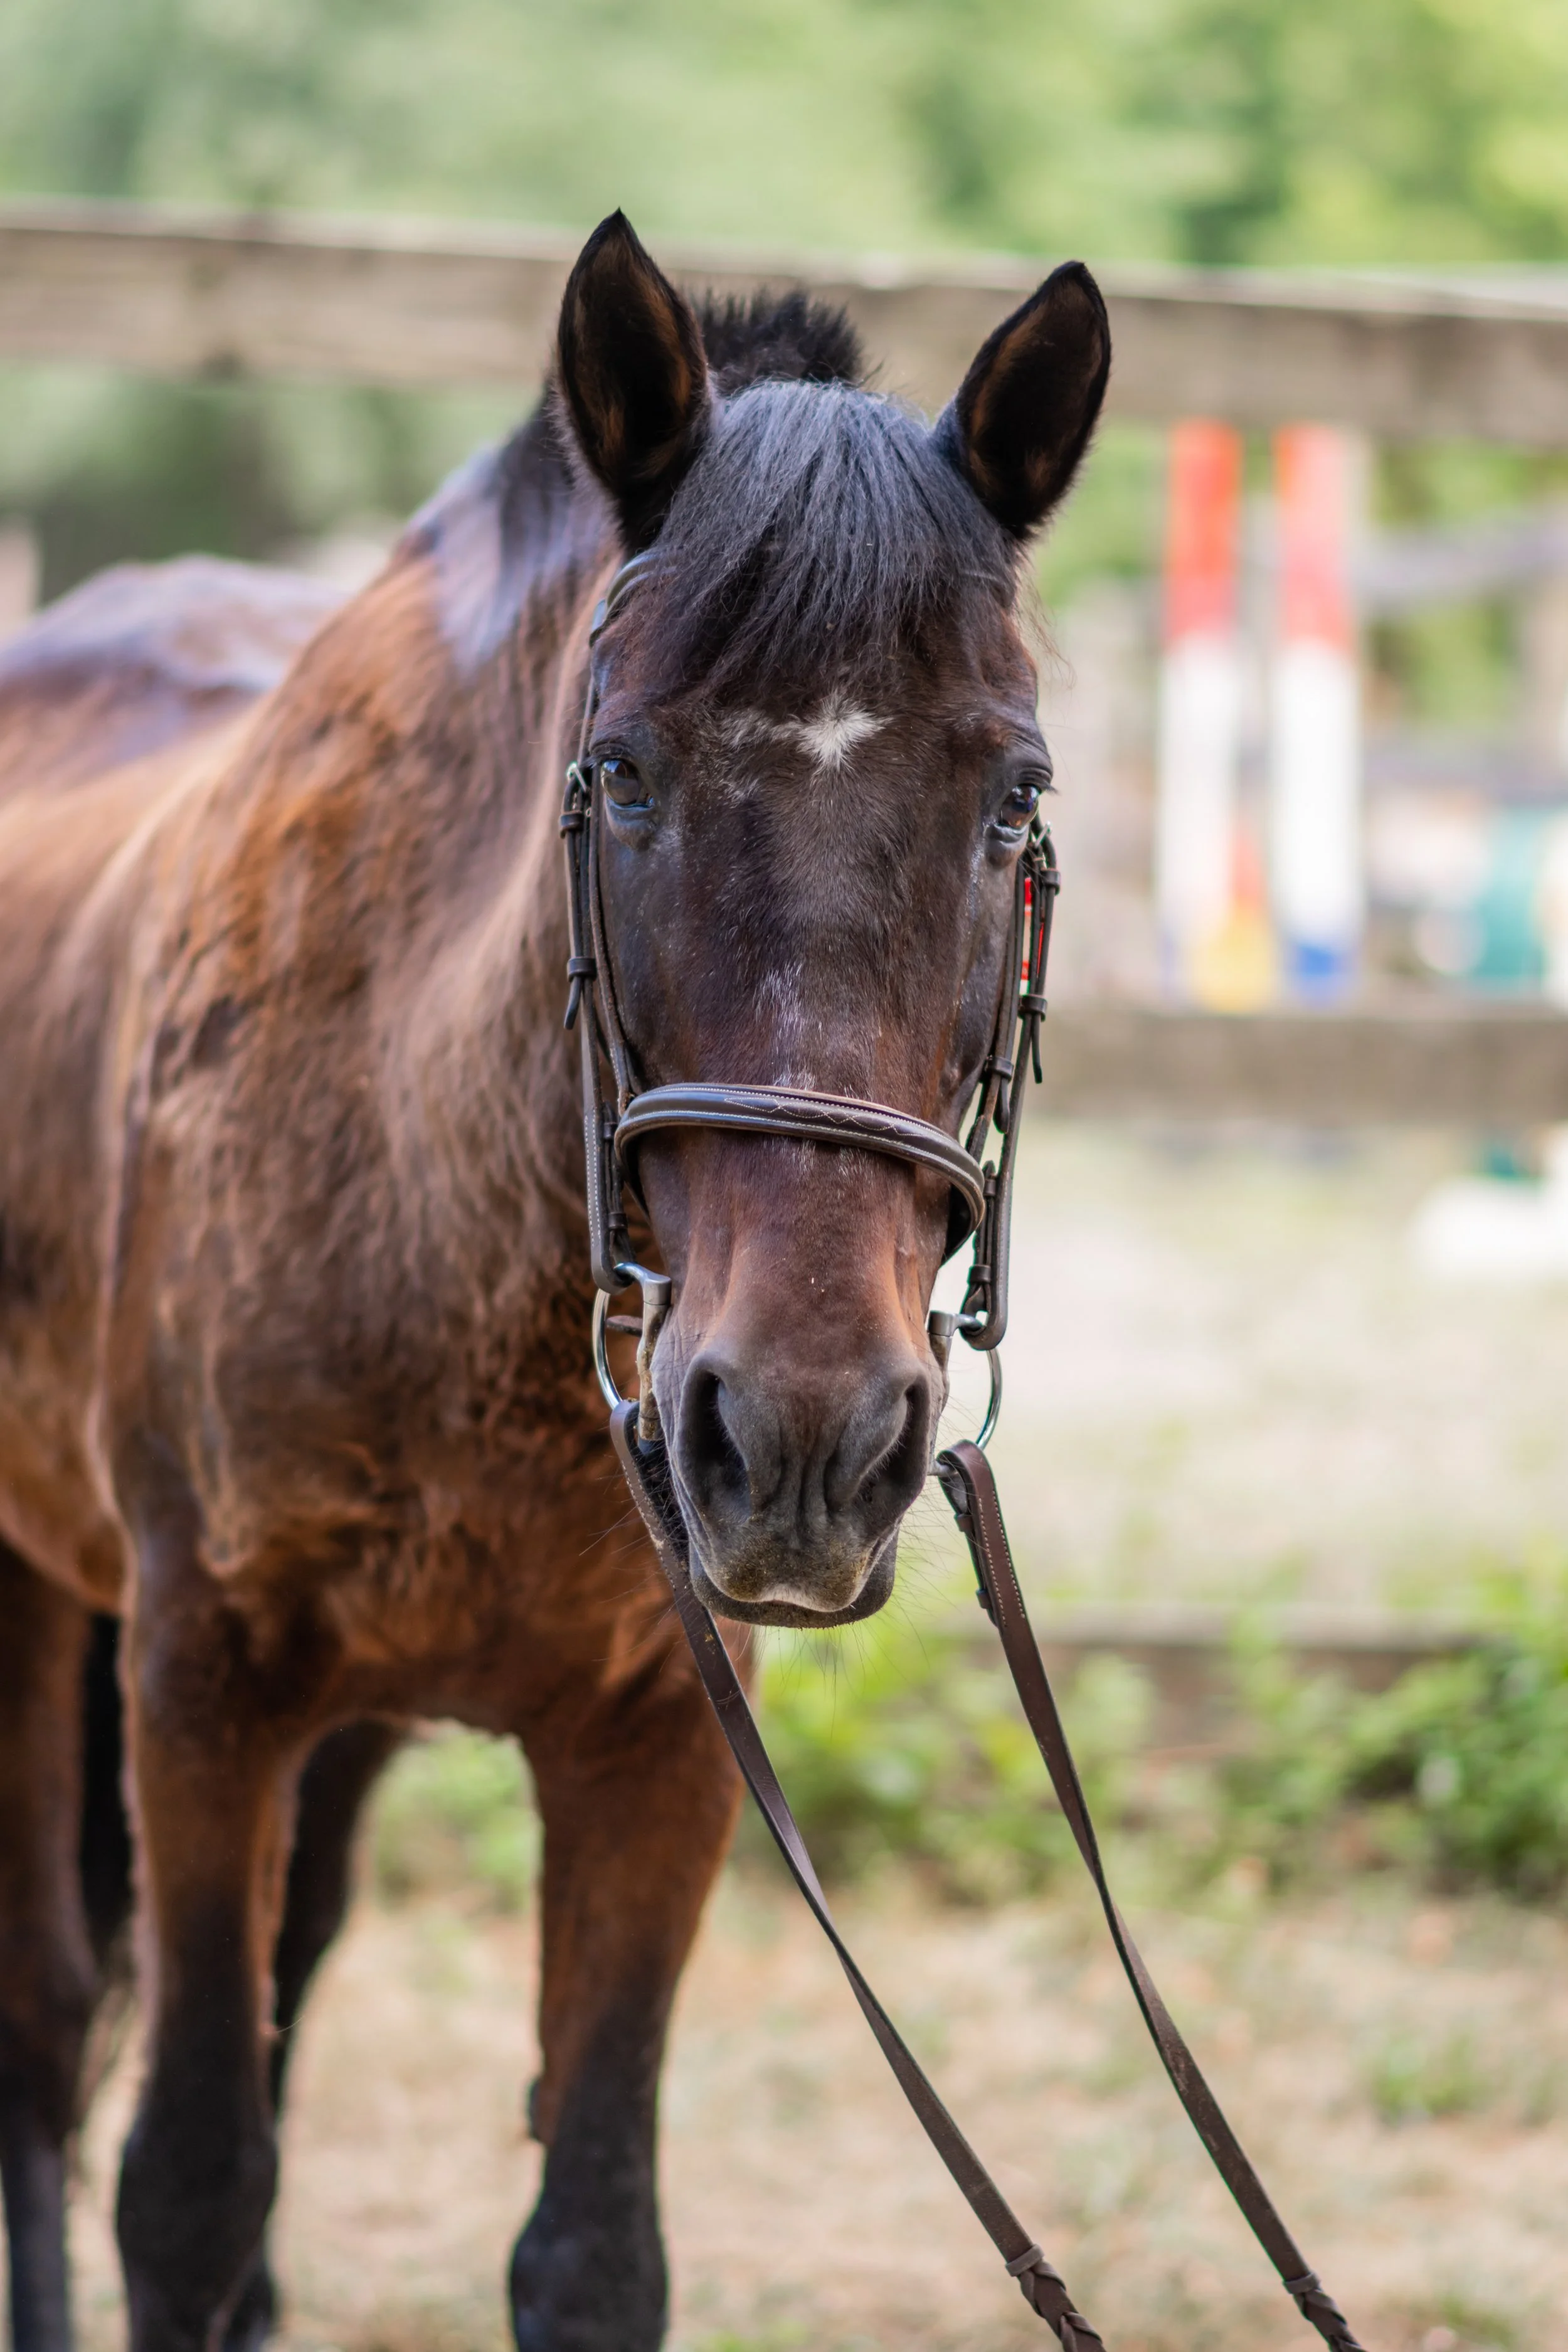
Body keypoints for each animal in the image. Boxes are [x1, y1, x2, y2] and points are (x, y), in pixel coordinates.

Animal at [0, 211, 1109, 2352]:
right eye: (622, 772)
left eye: (1013, 794)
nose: (803, 1433)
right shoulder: (201, 1677)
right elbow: (183, 2181)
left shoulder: (659, 1729)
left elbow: (591, 2239)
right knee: (45, 2009)